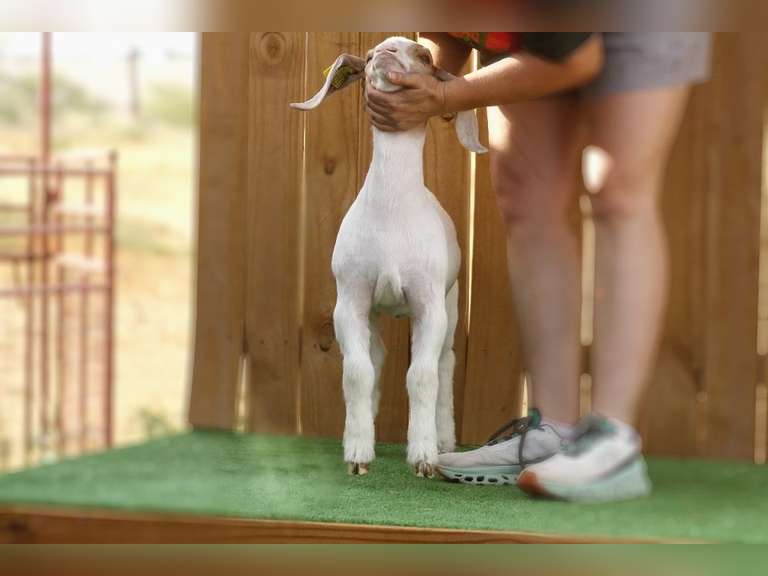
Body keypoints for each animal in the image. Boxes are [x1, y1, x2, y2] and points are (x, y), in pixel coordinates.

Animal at [290, 36, 486, 477]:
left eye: (425, 56)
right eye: (369, 56)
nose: (387, 50)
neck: (392, 215)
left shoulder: (429, 304)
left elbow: (422, 376)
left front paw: (424, 456)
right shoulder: (351, 300)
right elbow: (358, 372)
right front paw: (358, 452)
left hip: (450, 304)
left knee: (445, 363)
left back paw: (444, 438)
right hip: (376, 311)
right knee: (376, 356)